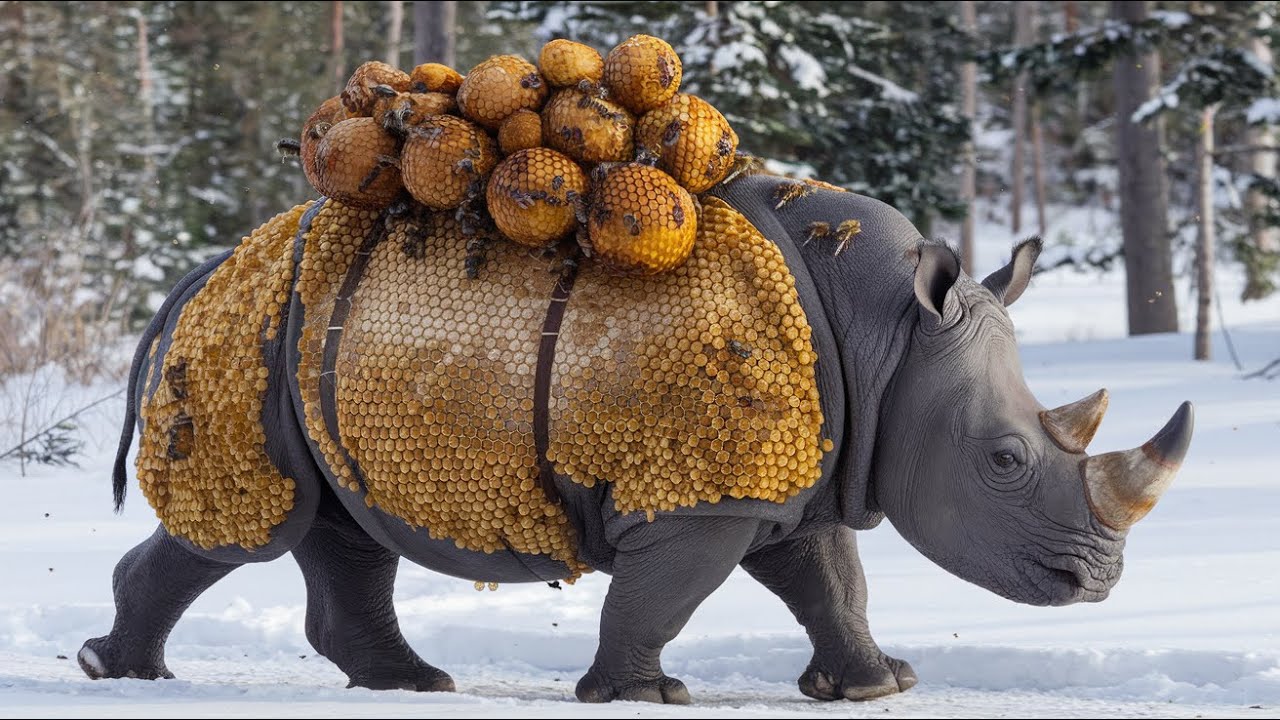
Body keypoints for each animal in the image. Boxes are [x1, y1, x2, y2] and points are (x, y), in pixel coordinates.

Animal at [79, 174, 1193, 704]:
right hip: (252, 337)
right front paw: (645, 696)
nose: (1097, 582)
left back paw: (409, 685)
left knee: (341, 526)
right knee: (245, 528)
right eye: (1004, 462)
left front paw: (877, 686)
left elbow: (832, 580)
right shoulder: (705, 490)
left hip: (298, 346)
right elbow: (669, 590)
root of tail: (208, 272)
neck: (891, 344)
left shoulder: (792, 468)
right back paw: (124, 676)